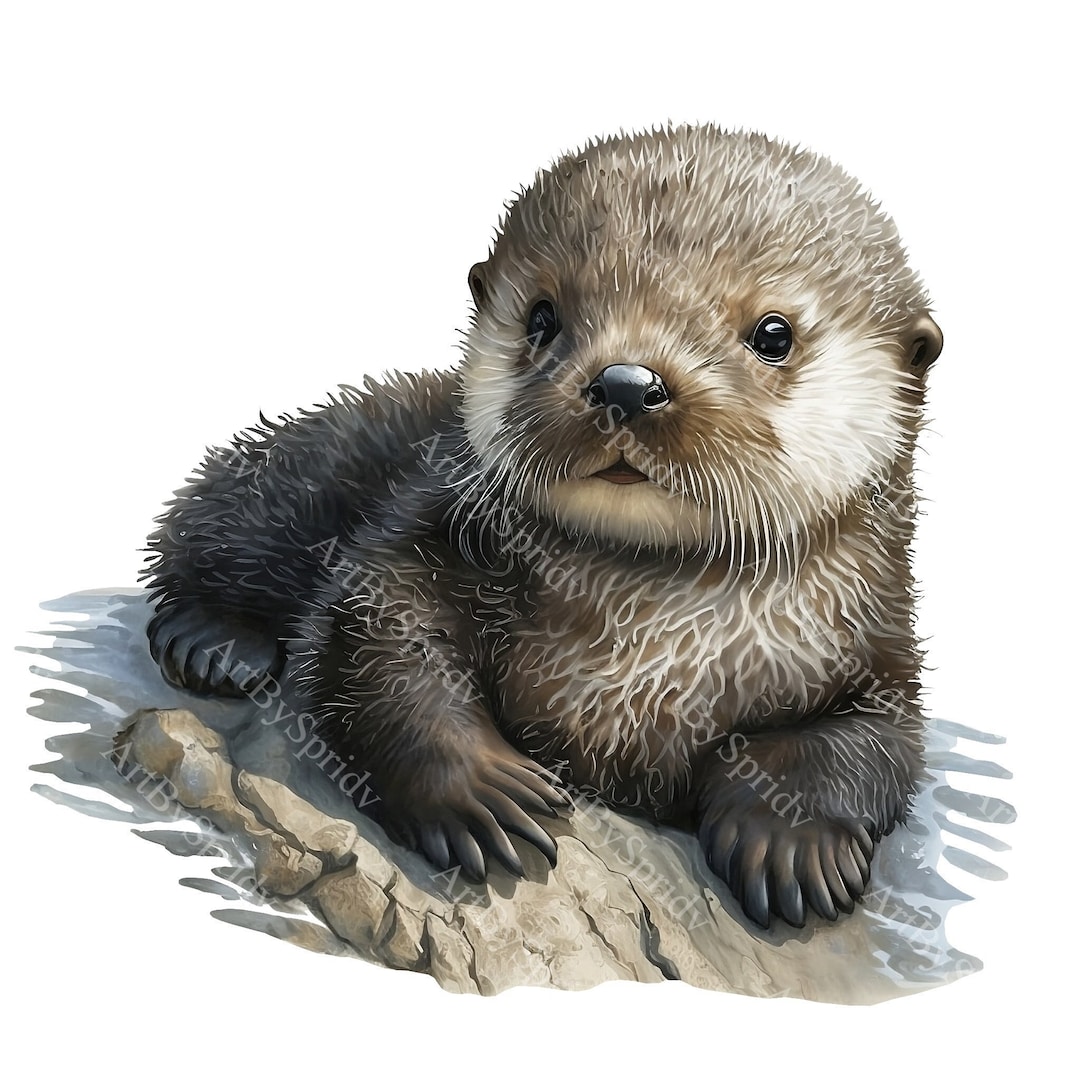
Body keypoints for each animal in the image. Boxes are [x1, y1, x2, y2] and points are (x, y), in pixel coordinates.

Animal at [145, 124, 943, 930]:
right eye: (542, 316)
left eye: (774, 335)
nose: (628, 382)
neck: (645, 635)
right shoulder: (419, 541)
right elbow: (380, 647)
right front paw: (483, 791)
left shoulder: (877, 650)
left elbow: (865, 747)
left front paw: (791, 845)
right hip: (297, 472)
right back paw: (214, 642)